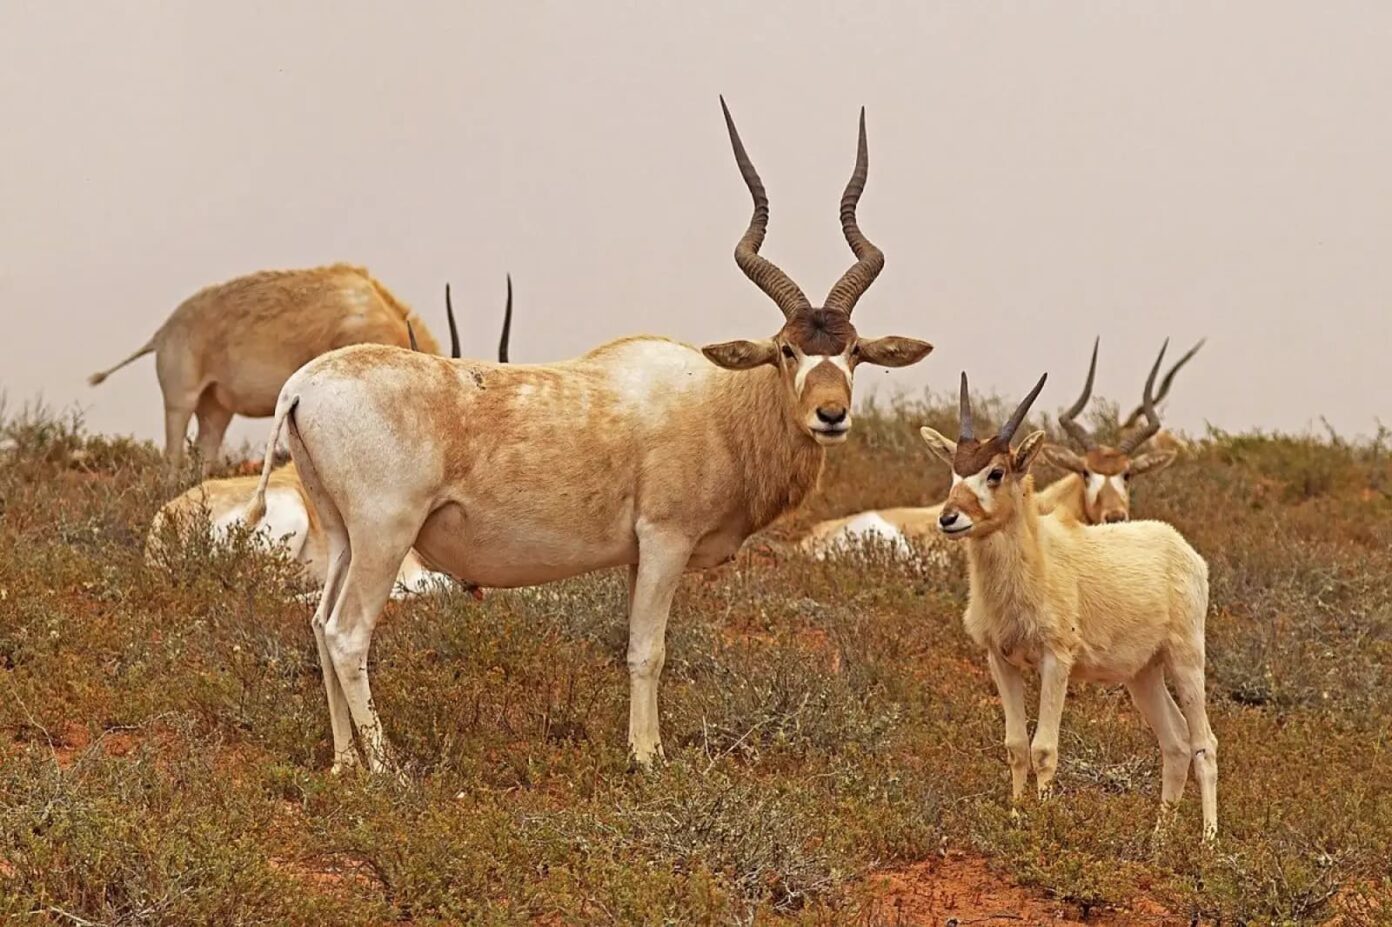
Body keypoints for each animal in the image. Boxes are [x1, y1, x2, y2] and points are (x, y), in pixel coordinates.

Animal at [245, 98, 933, 774]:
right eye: (788, 349)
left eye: (854, 351)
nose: (830, 415)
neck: (716, 402)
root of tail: (302, 385)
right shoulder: (665, 541)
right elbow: (648, 650)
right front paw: (648, 760)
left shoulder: (637, 556)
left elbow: (638, 645)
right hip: (385, 535)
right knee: (347, 634)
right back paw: (386, 769)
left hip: (343, 536)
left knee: (319, 623)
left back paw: (343, 763)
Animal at [919, 364, 1217, 838]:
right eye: (954, 471)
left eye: (996, 472)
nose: (949, 518)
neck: (1035, 562)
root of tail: (1183, 548)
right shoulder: (1000, 660)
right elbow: (1016, 745)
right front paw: (1017, 817)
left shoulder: (1055, 659)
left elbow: (1044, 747)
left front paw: (1044, 821)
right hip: (1143, 674)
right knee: (1176, 742)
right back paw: (1158, 840)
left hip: (1186, 659)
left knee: (1205, 742)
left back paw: (1208, 843)